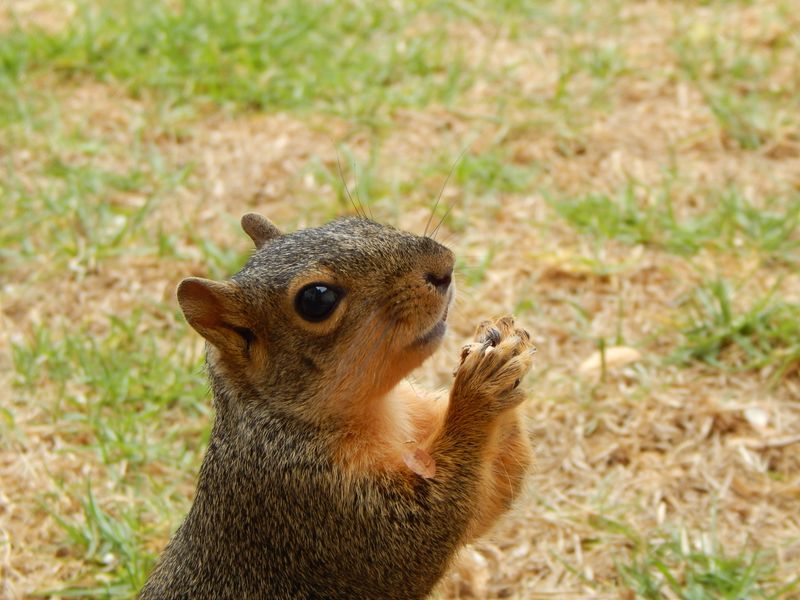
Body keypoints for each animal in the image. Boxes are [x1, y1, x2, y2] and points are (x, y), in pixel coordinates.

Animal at [139, 213, 535, 600]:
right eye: (316, 300)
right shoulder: (311, 495)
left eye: (359, 222)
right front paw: (478, 391)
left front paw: (500, 342)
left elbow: (487, 503)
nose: (445, 266)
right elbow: (416, 538)